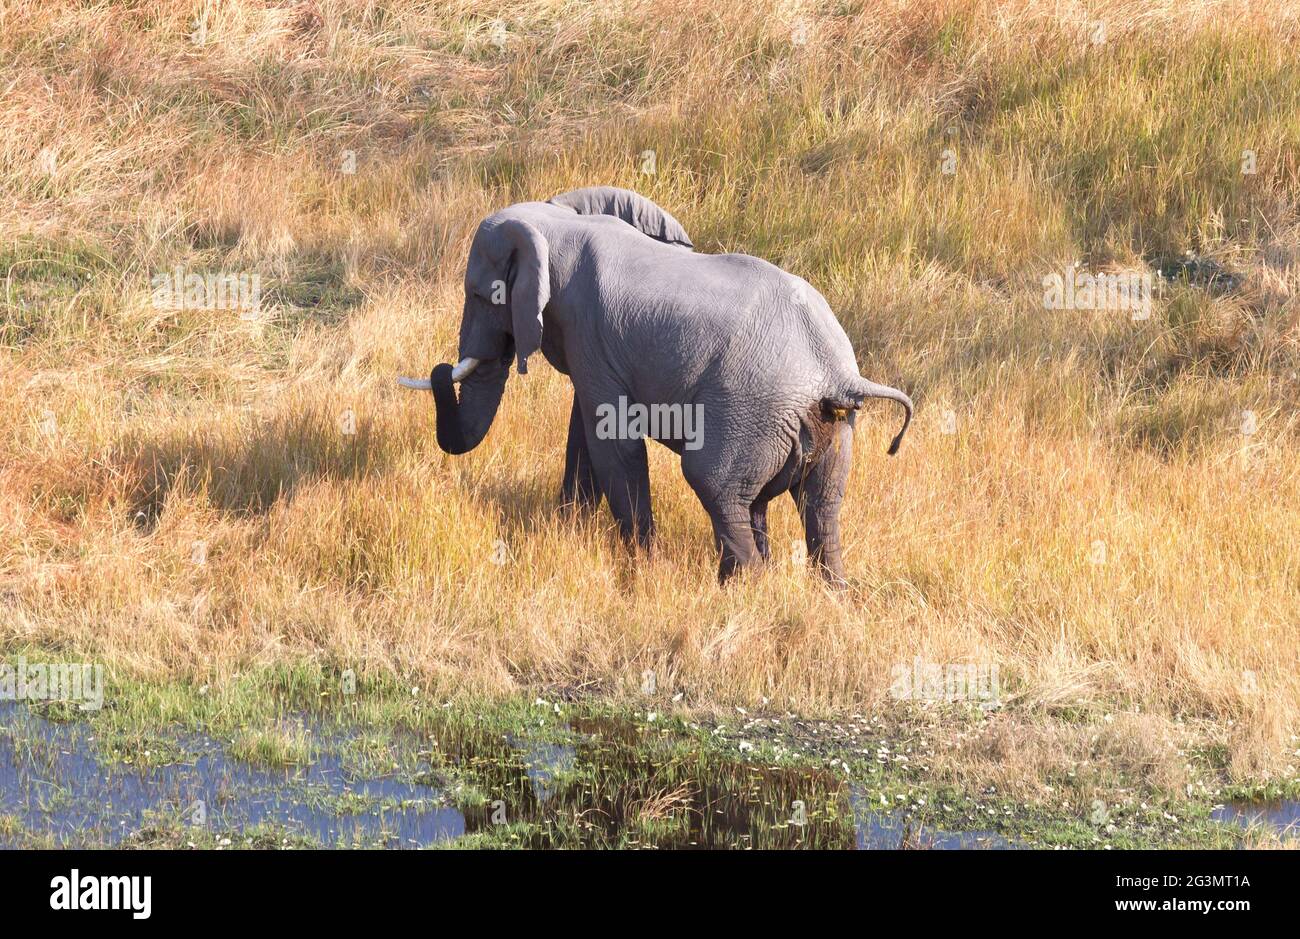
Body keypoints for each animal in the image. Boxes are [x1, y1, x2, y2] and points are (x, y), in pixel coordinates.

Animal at [399, 187, 913, 583]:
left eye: (482, 295)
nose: (440, 368)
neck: (557, 221)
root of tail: (838, 373)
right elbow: (584, 433)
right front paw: (568, 532)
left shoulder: (588, 329)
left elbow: (613, 445)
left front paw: (640, 564)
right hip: (827, 426)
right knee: (819, 507)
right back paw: (828, 592)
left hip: (752, 407)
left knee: (715, 483)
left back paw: (740, 589)